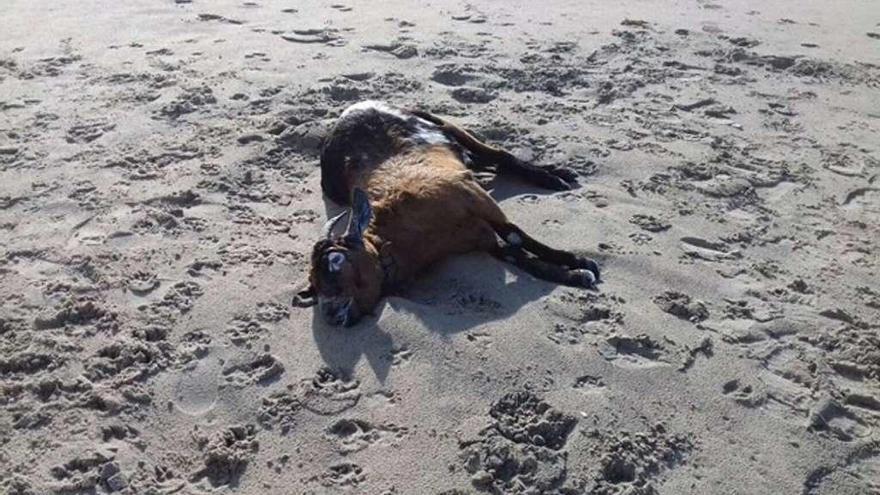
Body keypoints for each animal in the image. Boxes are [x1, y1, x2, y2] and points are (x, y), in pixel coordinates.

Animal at [294, 101, 601, 326]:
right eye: (312, 288)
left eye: (335, 260)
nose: (330, 315)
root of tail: (355, 108)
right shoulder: (480, 237)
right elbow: (517, 256)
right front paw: (575, 276)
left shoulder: (474, 198)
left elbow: (517, 236)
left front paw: (581, 263)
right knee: (491, 163)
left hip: (444, 127)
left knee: (499, 156)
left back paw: (555, 176)